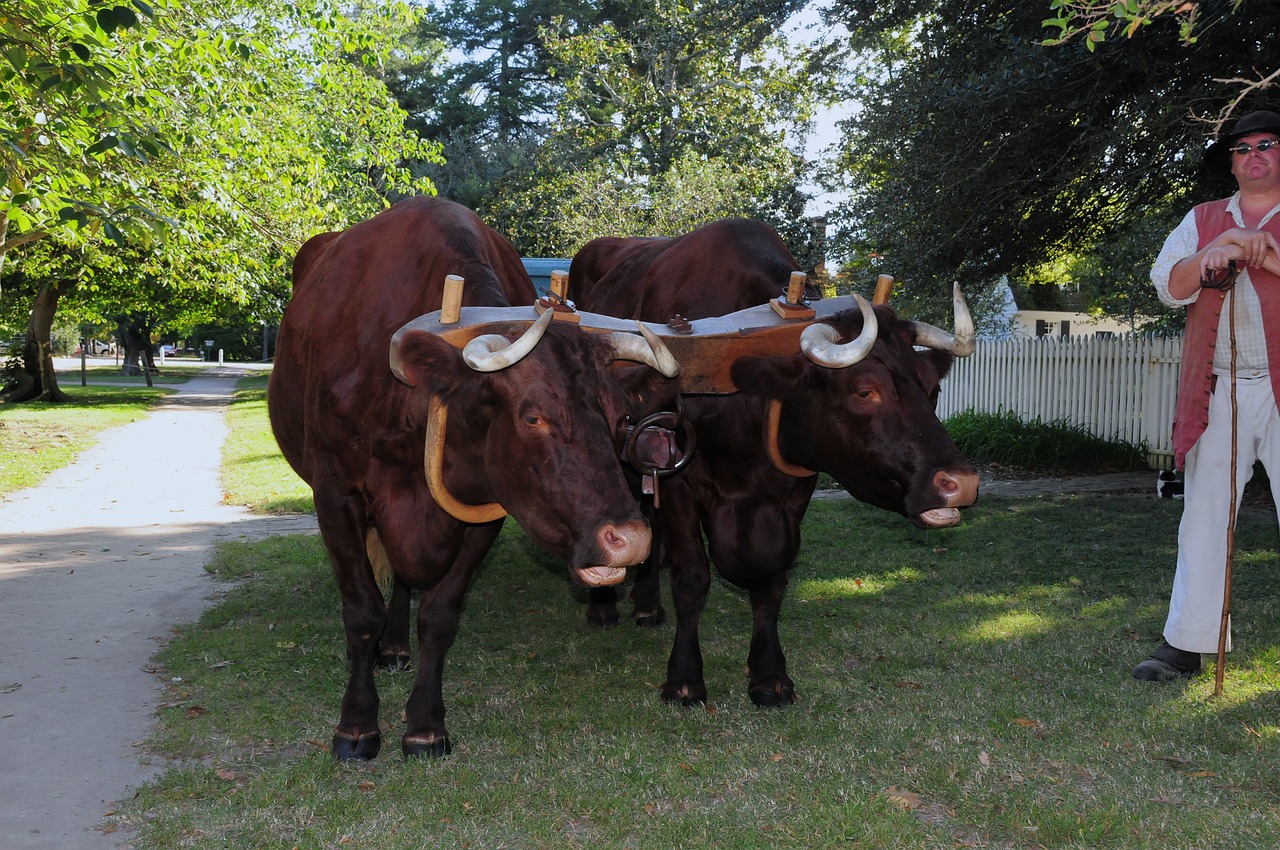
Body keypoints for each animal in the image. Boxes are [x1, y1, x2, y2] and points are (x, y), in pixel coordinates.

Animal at [268, 197, 680, 759]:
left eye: (620, 418)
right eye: (533, 416)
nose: (631, 538)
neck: (415, 401)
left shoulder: (484, 511)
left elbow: (440, 615)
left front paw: (425, 725)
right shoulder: (336, 495)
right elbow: (361, 611)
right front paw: (356, 725)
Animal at [571, 217, 978, 708]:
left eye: (933, 387)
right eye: (864, 391)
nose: (961, 481)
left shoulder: (795, 490)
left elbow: (772, 581)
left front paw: (768, 675)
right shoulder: (679, 478)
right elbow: (692, 578)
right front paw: (684, 679)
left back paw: (647, 605)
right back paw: (606, 606)